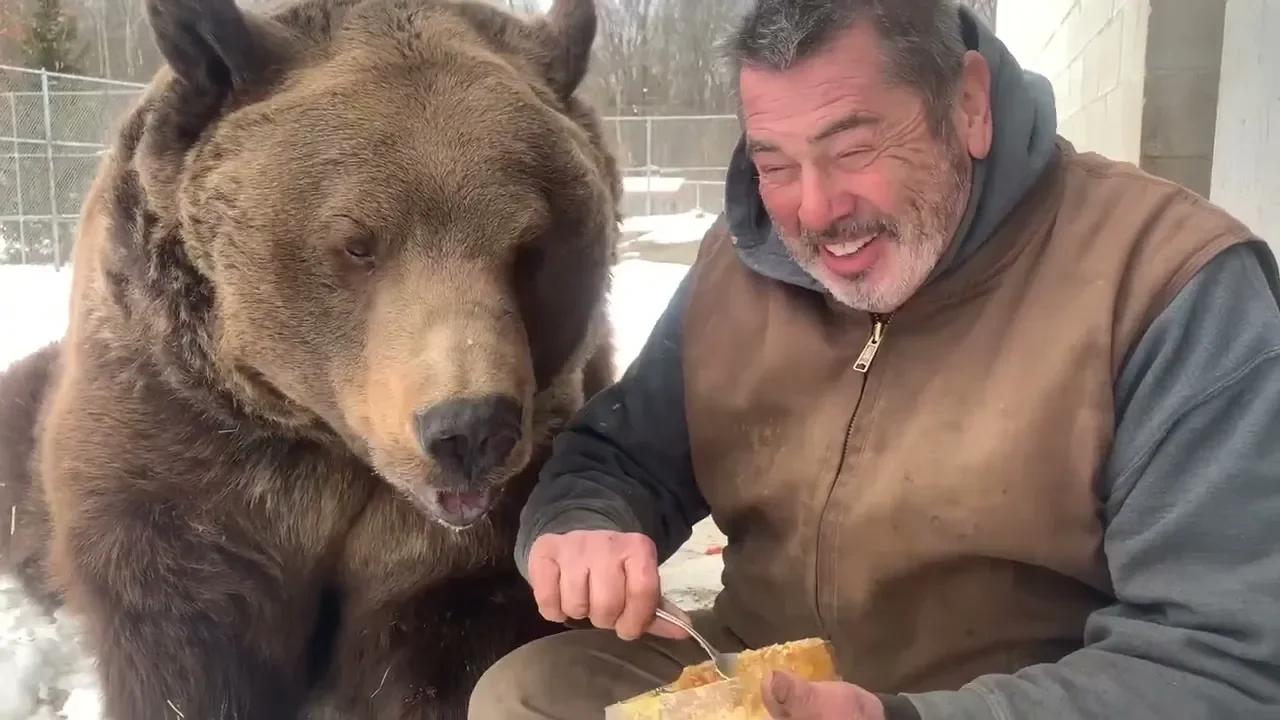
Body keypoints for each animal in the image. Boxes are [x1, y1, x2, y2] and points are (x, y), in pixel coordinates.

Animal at [0, 0, 622, 717]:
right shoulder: (183, 436)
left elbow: (442, 636)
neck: (329, 436)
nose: (470, 429)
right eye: (357, 244)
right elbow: (187, 636)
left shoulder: (469, 532)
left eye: (529, 248)